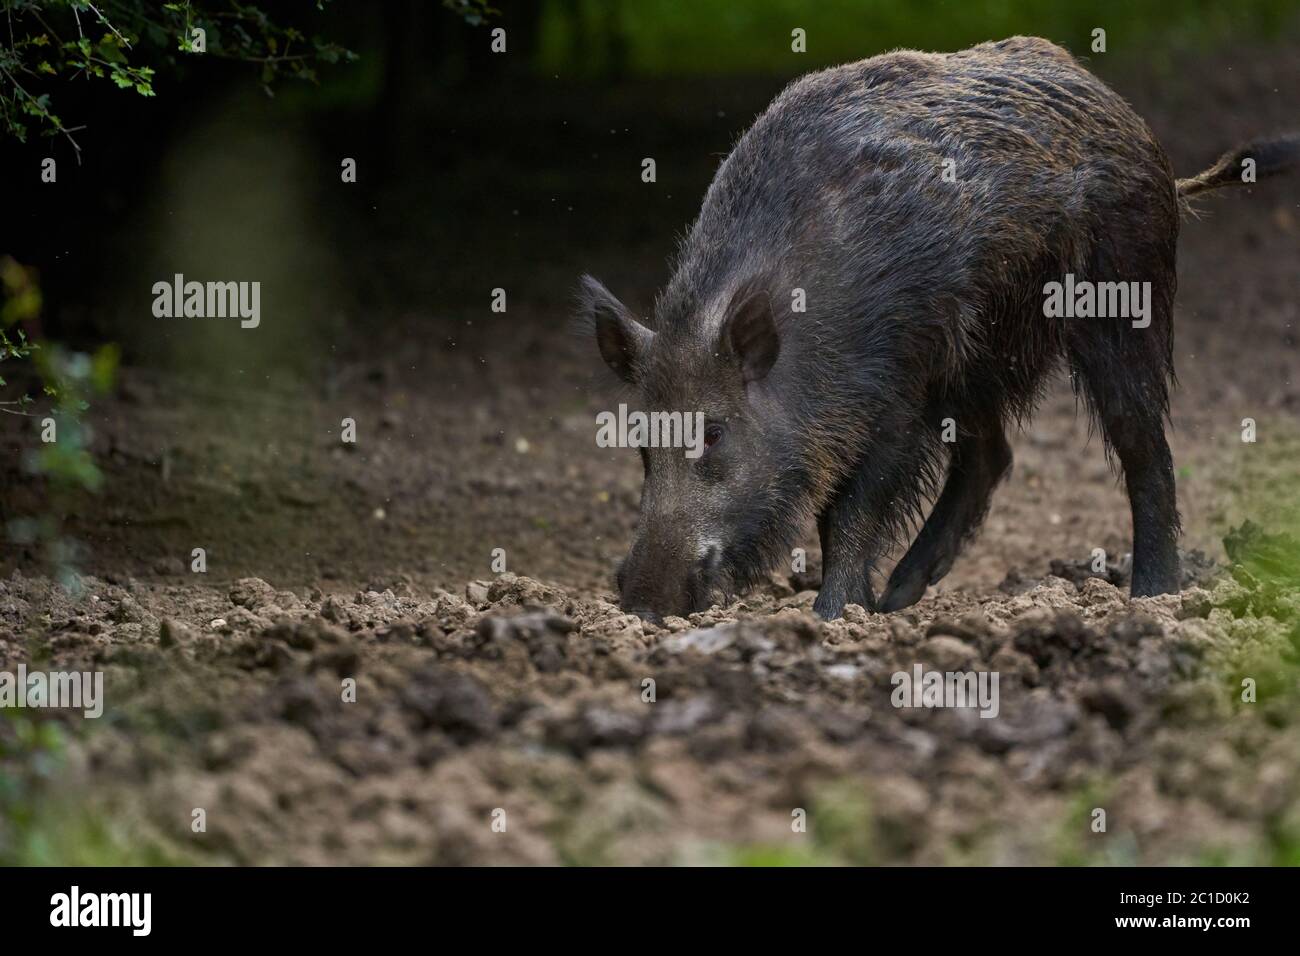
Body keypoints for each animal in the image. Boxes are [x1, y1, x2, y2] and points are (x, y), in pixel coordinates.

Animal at [578, 36, 1299, 621]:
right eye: (641, 442)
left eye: (714, 431)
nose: (643, 602)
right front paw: (864, 608)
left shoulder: (899, 388)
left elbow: (854, 508)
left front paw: (834, 616)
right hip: (985, 355)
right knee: (992, 455)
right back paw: (903, 596)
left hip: (1123, 297)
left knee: (1142, 443)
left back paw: (1152, 597)